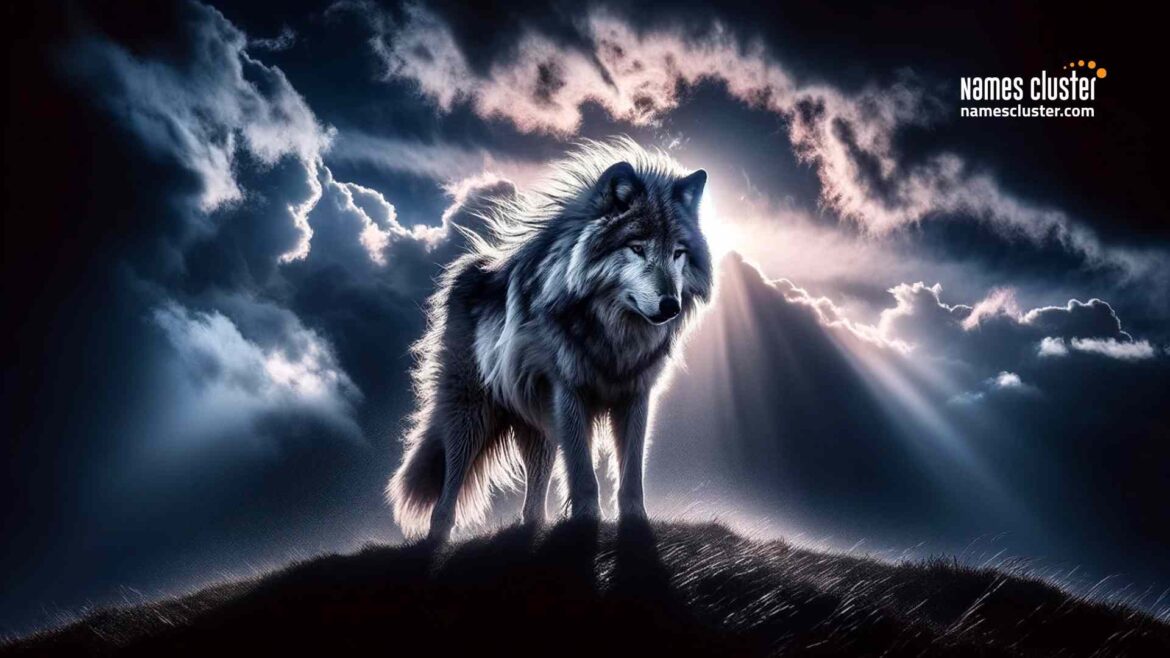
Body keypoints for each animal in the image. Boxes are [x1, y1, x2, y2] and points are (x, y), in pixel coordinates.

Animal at [388, 138, 713, 541]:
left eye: (677, 253)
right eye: (637, 248)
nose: (671, 305)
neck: (613, 335)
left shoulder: (635, 397)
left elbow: (631, 475)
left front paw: (635, 528)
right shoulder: (568, 392)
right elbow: (584, 476)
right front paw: (585, 527)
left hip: (539, 428)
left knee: (533, 497)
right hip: (470, 416)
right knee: (448, 491)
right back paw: (437, 542)